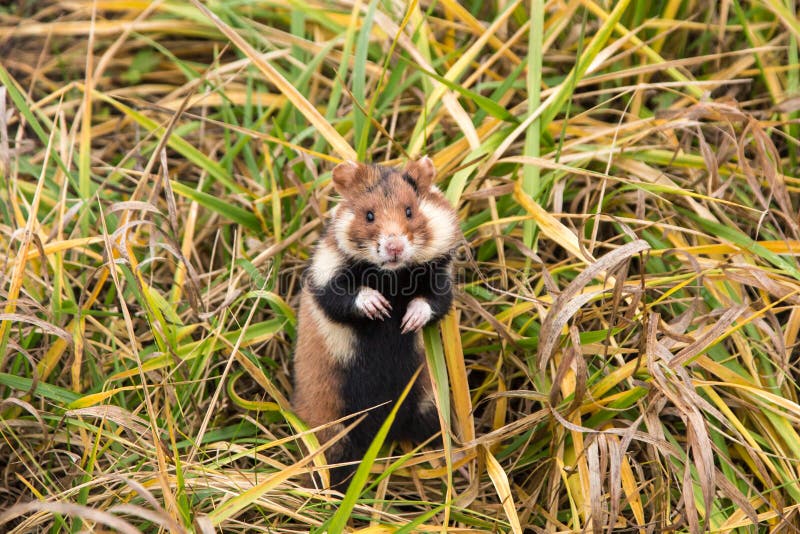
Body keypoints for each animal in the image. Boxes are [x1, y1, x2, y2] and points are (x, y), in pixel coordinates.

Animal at [291, 156, 460, 490]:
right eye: (369, 215)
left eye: (409, 211)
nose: (394, 247)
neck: (392, 276)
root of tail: (387, 432)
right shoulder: (324, 275)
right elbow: (344, 297)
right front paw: (379, 308)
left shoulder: (442, 279)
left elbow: (433, 302)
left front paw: (407, 321)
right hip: (333, 429)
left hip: (429, 404)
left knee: (434, 437)